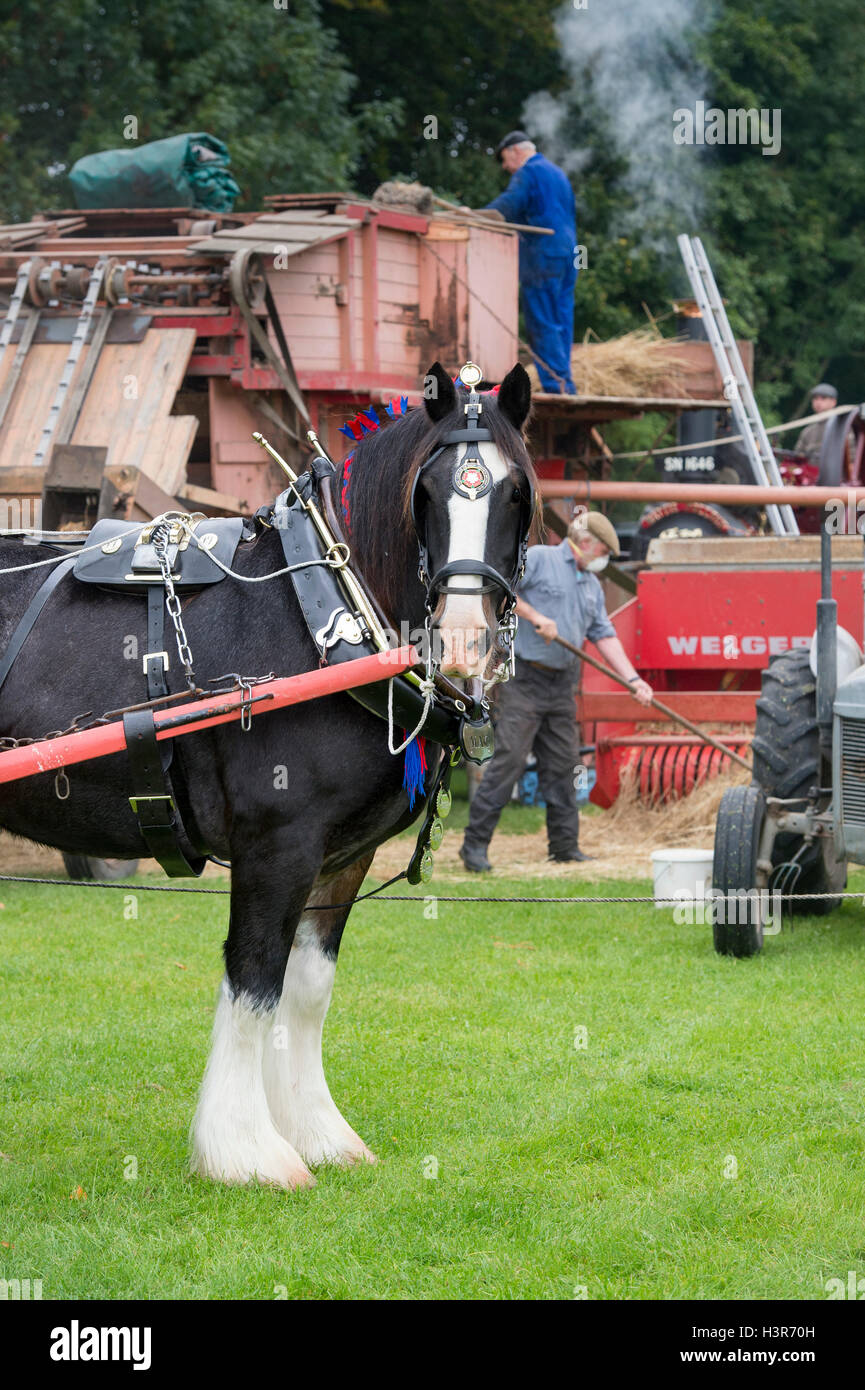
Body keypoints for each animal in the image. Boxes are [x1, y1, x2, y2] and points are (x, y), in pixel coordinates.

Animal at [0, 360, 536, 1188]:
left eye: (516, 493)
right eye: (426, 491)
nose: (463, 640)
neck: (324, 615)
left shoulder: (342, 854)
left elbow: (307, 990)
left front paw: (319, 1132)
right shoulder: (275, 842)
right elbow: (254, 978)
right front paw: (244, 1150)